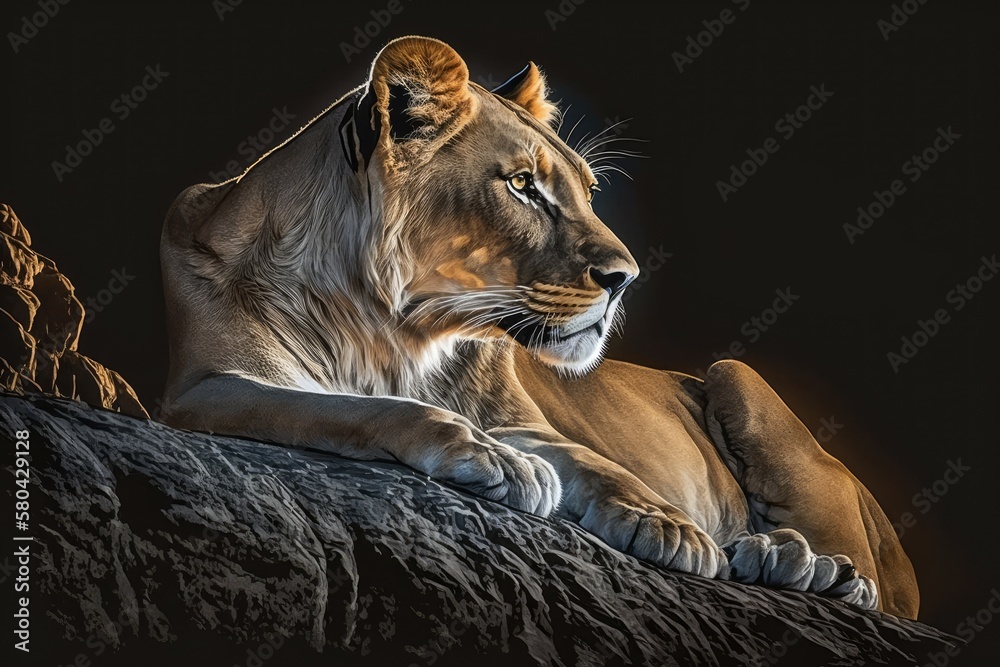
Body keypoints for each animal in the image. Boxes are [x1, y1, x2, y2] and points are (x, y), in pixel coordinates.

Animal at [160, 36, 918, 618]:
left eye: (588, 189)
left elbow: (593, 461)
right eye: (522, 185)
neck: (394, 329)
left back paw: (802, 565)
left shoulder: (527, 419)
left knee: (871, 589)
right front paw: (490, 457)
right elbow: (355, 409)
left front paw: (668, 526)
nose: (625, 277)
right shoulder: (206, 389)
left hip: (739, 374)